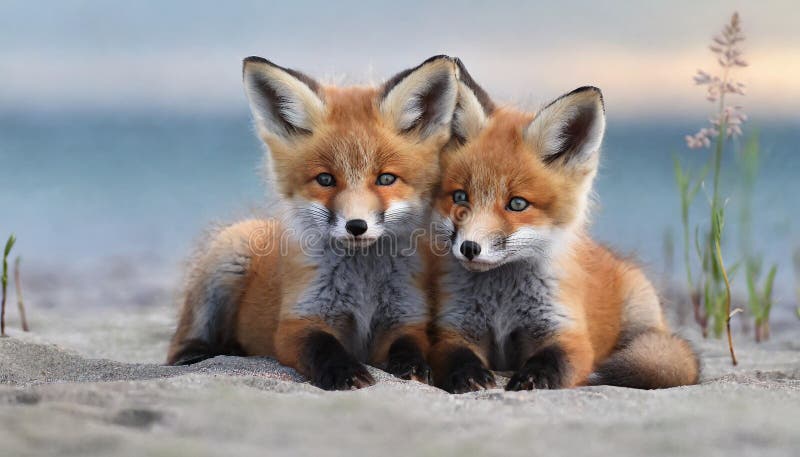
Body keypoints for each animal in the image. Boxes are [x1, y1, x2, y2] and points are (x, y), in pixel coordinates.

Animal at [166, 55, 460, 390]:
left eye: (386, 179)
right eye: (325, 180)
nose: (356, 226)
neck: (363, 285)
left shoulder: (406, 317)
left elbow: (409, 346)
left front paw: (413, 367)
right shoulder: (298, 321)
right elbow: (322, 347)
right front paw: (346, 373)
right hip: (227, 256)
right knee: (179, 345)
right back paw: (205, 354)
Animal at [428, 60, 700, 393]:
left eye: (517, 204)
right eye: (459, 197)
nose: (469, 248)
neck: (502, 303)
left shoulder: (568, 333)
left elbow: (554, 362)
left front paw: (533, 379)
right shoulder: (454, 328)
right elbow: (456, 355)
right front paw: (469, 375)